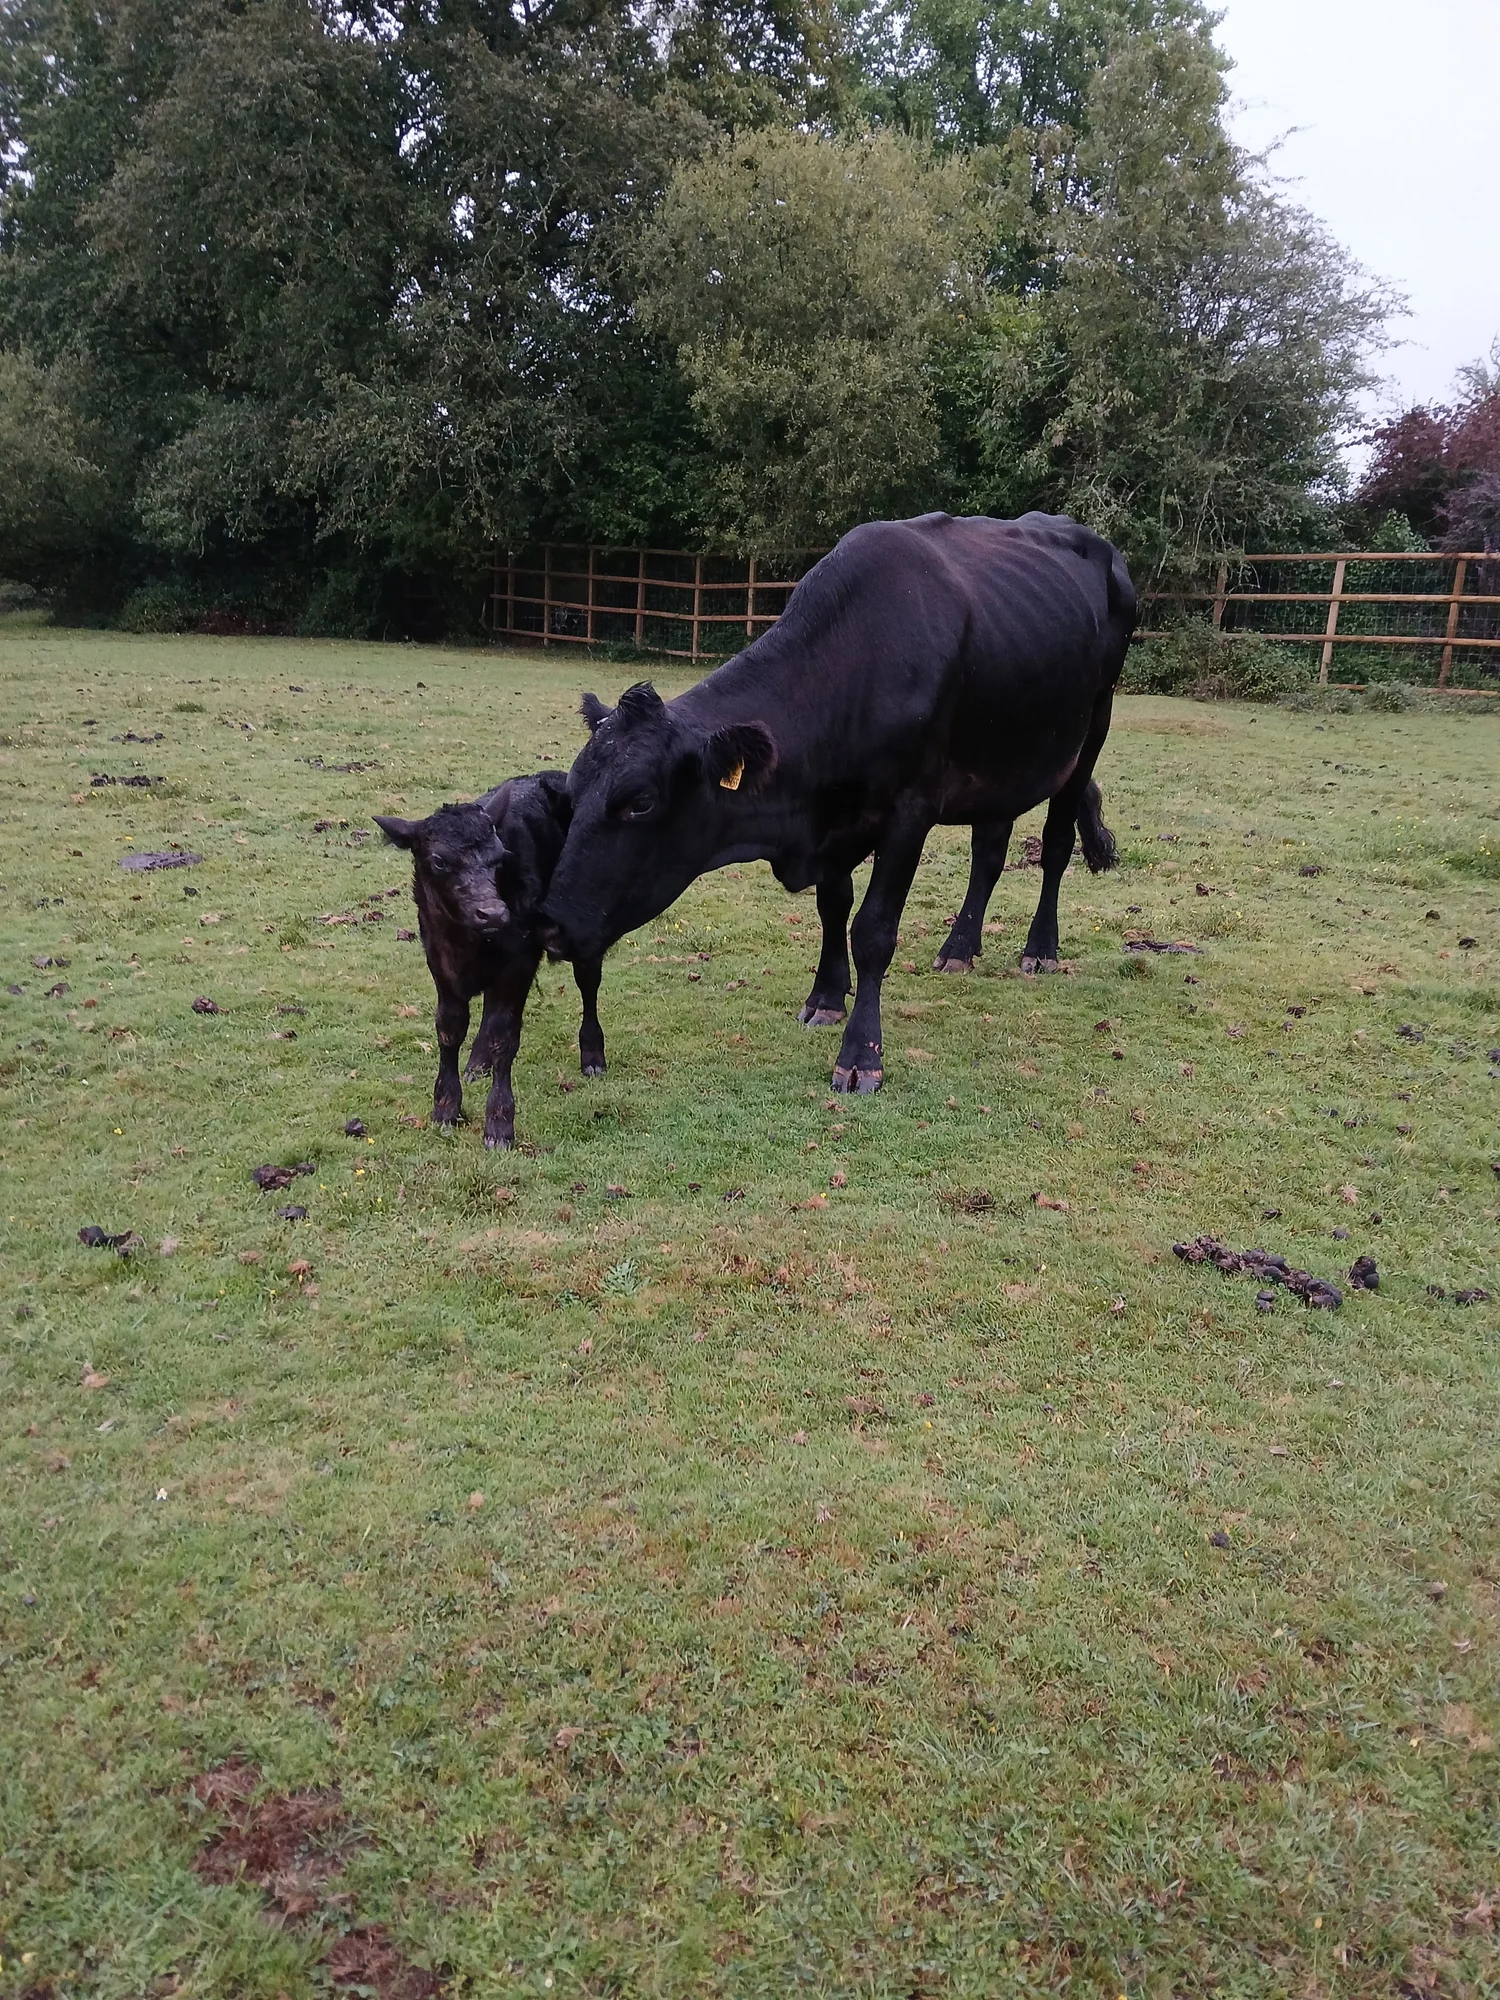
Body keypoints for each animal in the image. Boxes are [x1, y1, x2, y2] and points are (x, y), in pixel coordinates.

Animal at [374, 774, 605, 1149]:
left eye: (499, 857)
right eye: (439, 861)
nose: (494, 912)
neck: (466, 942)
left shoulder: (518, 964)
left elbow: (504, 1037)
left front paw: (499, 1124)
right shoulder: (439, 964)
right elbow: (450, 1029)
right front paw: (446, 1107)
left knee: (588, 984)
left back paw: (593, 1056)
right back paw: (476, 1063)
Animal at [542, 511, 1135, 1093]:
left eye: (640, 802)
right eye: (572, 791)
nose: (552, 923)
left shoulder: (910, 812)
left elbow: (872, 930)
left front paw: (860, 1055)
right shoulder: (830, 819)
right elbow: (833, 907)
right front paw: (825, 998)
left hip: (1091, 731)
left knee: (1056, 846)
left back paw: (1041, 949)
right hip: (1002, 760)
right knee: (989, 851)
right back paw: (959, 948)